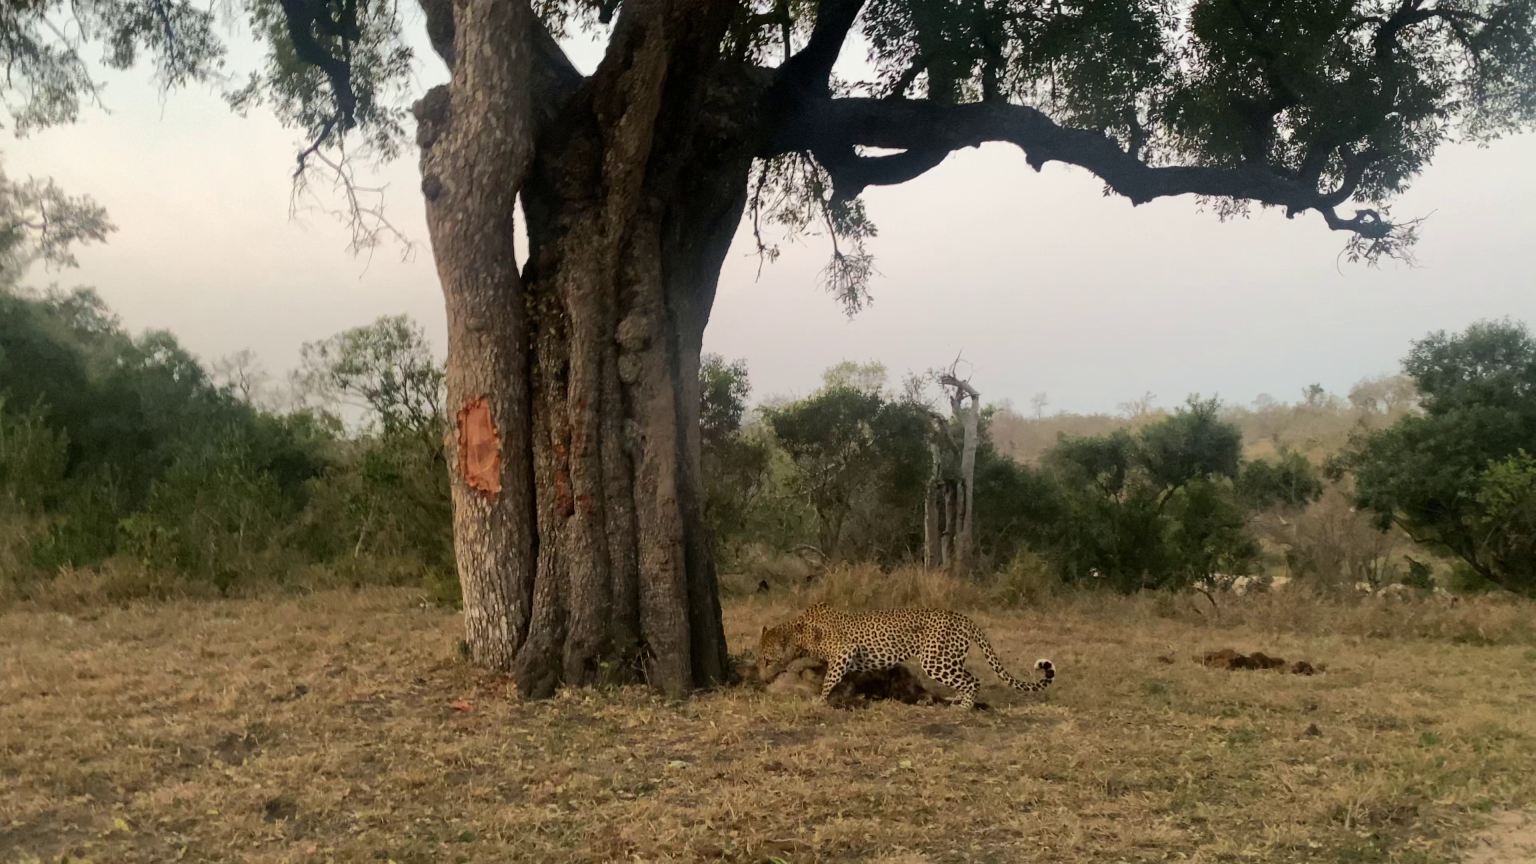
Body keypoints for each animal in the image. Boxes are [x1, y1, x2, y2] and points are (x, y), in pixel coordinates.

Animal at [757, 603, 1055, 709]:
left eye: (767, 660)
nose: (762, 678)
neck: (797, 632)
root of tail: (961, 616)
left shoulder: (845, 650)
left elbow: (830, 678)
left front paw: (820, 699)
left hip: (935, 660)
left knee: (974, 680)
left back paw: (963, 707)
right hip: (952, 658)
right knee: (967, 678)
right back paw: (956, 700)